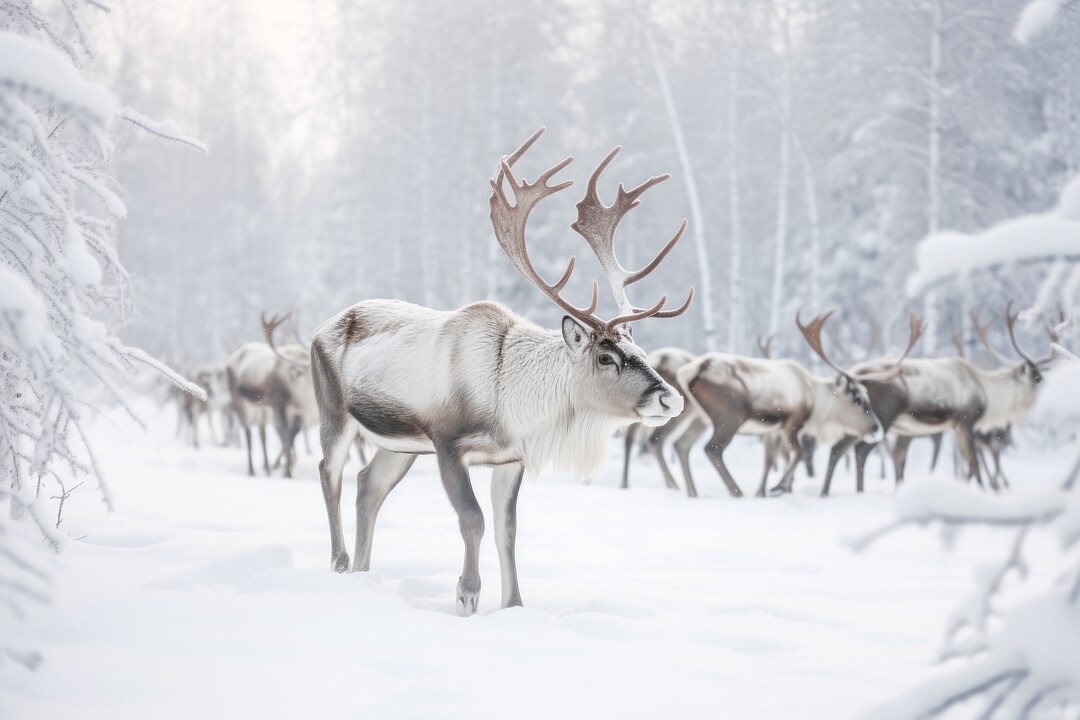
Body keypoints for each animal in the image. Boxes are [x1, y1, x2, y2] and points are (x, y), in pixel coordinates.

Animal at [309, 128, 692, 615]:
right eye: (605, 357)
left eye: (639, 348)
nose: (670, 397)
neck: (514, 405)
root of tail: (320, 328)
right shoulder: (447, 441)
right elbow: (472, 519)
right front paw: (467, 595)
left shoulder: (511, 457)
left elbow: (507, 532)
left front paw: (513, 606)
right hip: (334, 411)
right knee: (329, 472)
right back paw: (340, 562)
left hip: (399, 443)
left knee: (367, 485)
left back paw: (362, 570)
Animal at [673, 311, 884, 499]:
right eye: (857, 399)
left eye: (867, 395)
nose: (876, 428)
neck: (815, 400)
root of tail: (692, 370)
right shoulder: (792, 423)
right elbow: (798, 453)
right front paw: (779, 487)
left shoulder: (772, 430)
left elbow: (769, 459)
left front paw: (762, 492)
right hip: (730, 416)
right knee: (713, 448)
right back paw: (737, 492)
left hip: (701, 417)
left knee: (682, 444)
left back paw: (693, 493)